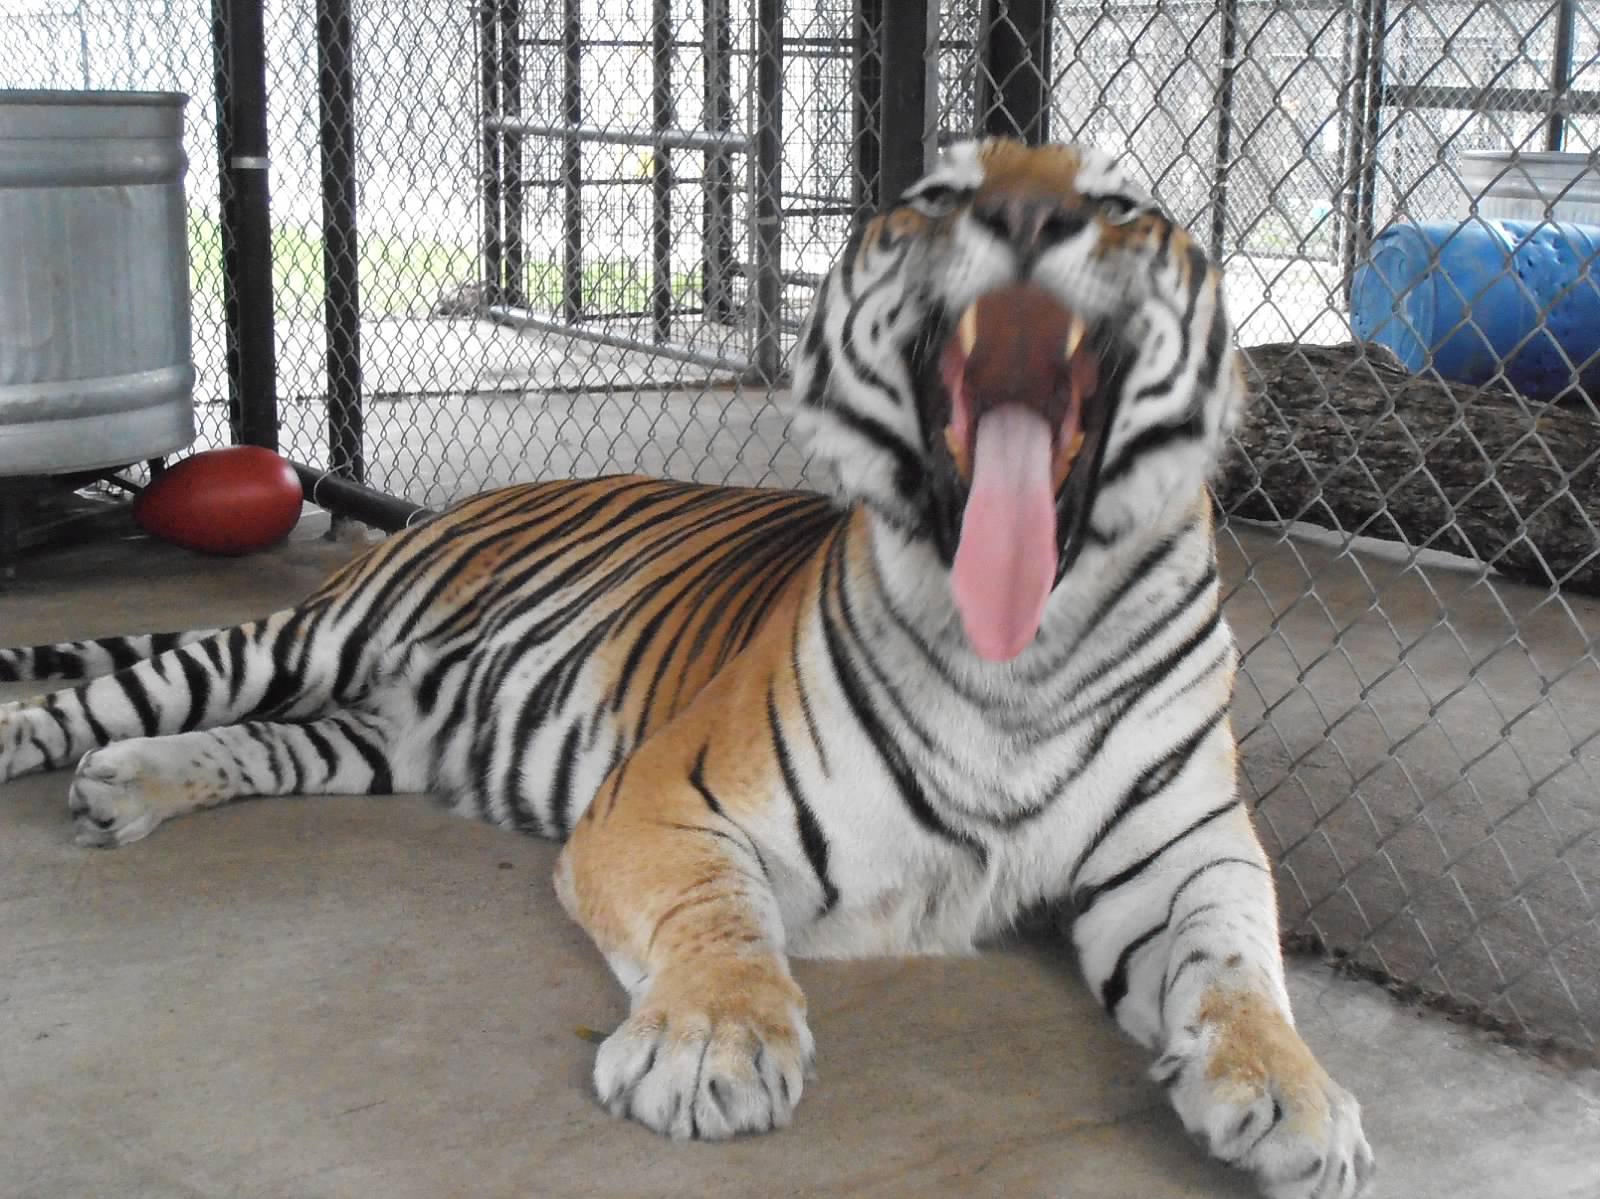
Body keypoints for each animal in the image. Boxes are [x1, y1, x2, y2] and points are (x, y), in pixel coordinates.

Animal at [0, 139, 1372, 1198]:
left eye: (1120, 203)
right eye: (938, 191)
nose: (1027, 218)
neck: (1019, 652)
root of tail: (469, 500)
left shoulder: (1184, 848)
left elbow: (1239, 960)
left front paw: (1297, 1098)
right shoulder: (668, 796)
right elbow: (717, 913)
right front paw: (711, 1046)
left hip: (382, 732)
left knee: (259, 738)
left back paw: (123, 788)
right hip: (321, 634)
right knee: (125, 688)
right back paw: (56, 750)